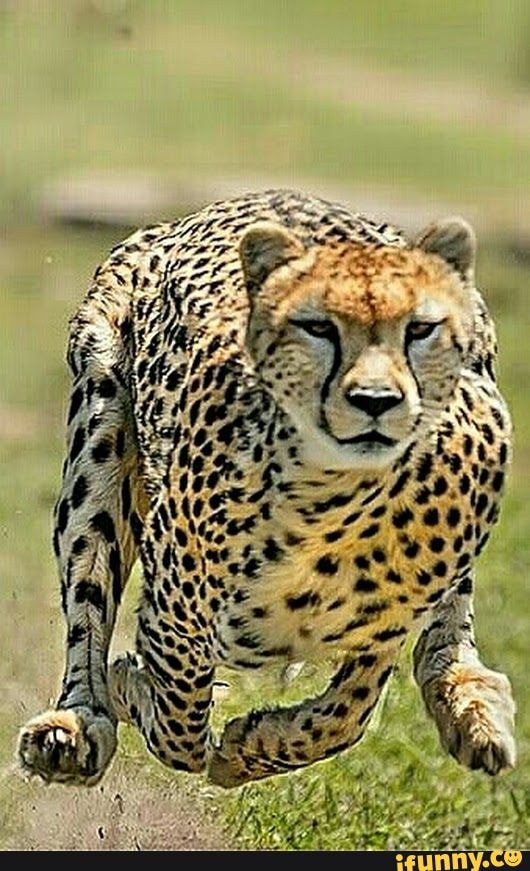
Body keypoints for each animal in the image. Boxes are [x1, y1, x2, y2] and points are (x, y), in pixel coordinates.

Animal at [17, 189, 516, 789]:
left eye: (419, 330)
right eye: (318, 328)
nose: (375, 400)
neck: (337, 506)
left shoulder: (387, 625)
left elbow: (346, 715)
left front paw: (250, 747)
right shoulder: (175, 607)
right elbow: (179, 721)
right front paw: (131, 689)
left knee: (450, 623)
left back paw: (472, 706)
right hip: (100, 431)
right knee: (88, 597)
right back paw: (75, 725)